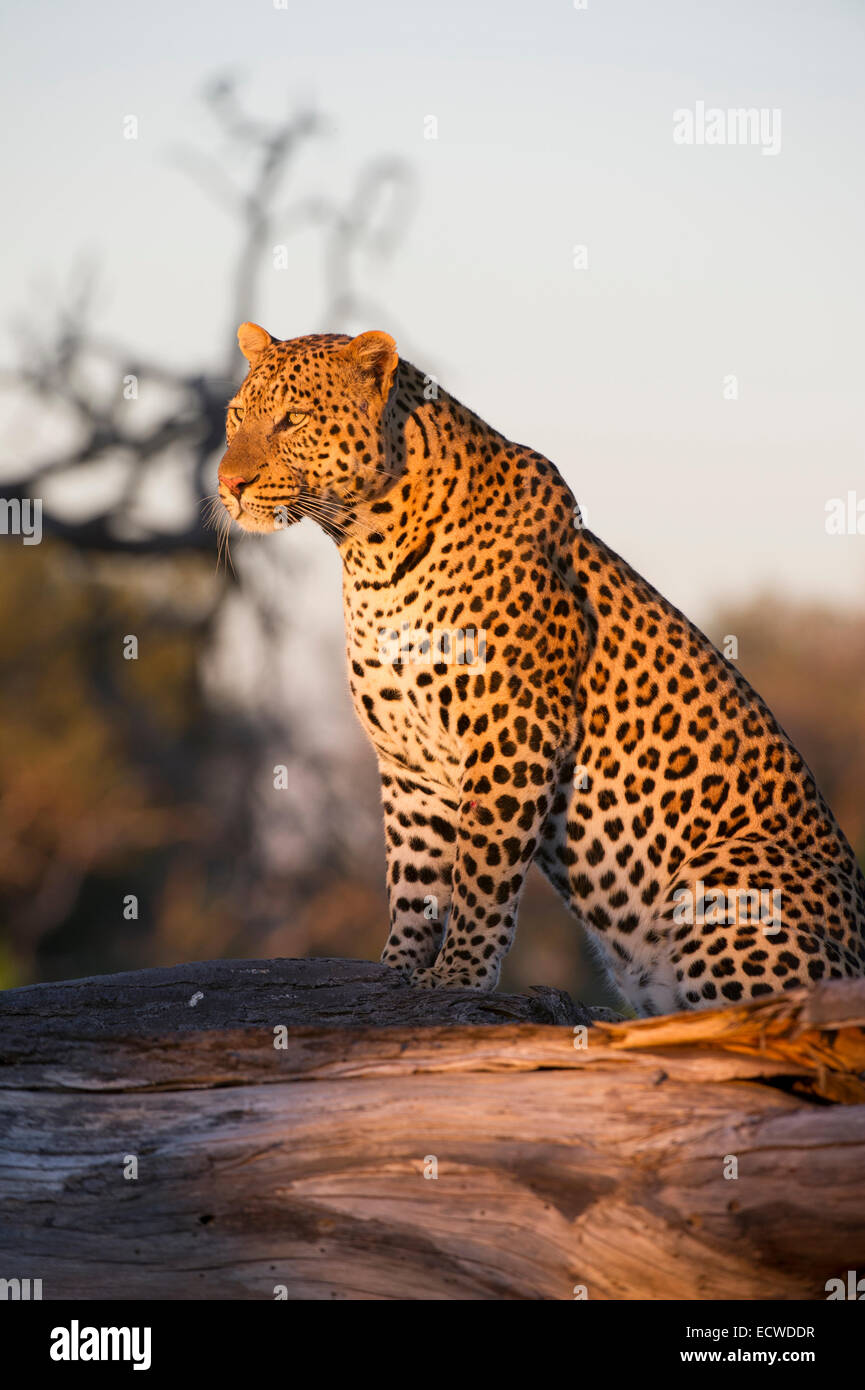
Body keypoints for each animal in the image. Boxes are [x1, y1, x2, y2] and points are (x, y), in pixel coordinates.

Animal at [217, 321, 865, 1015]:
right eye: (236, 417)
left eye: (291, 420)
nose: (228, 485)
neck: (368, 551)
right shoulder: (409, 764)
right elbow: (414, 879)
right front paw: (397, 970)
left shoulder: (514, 730)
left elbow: (481, 871)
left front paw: (459, 976)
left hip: (720, 882)